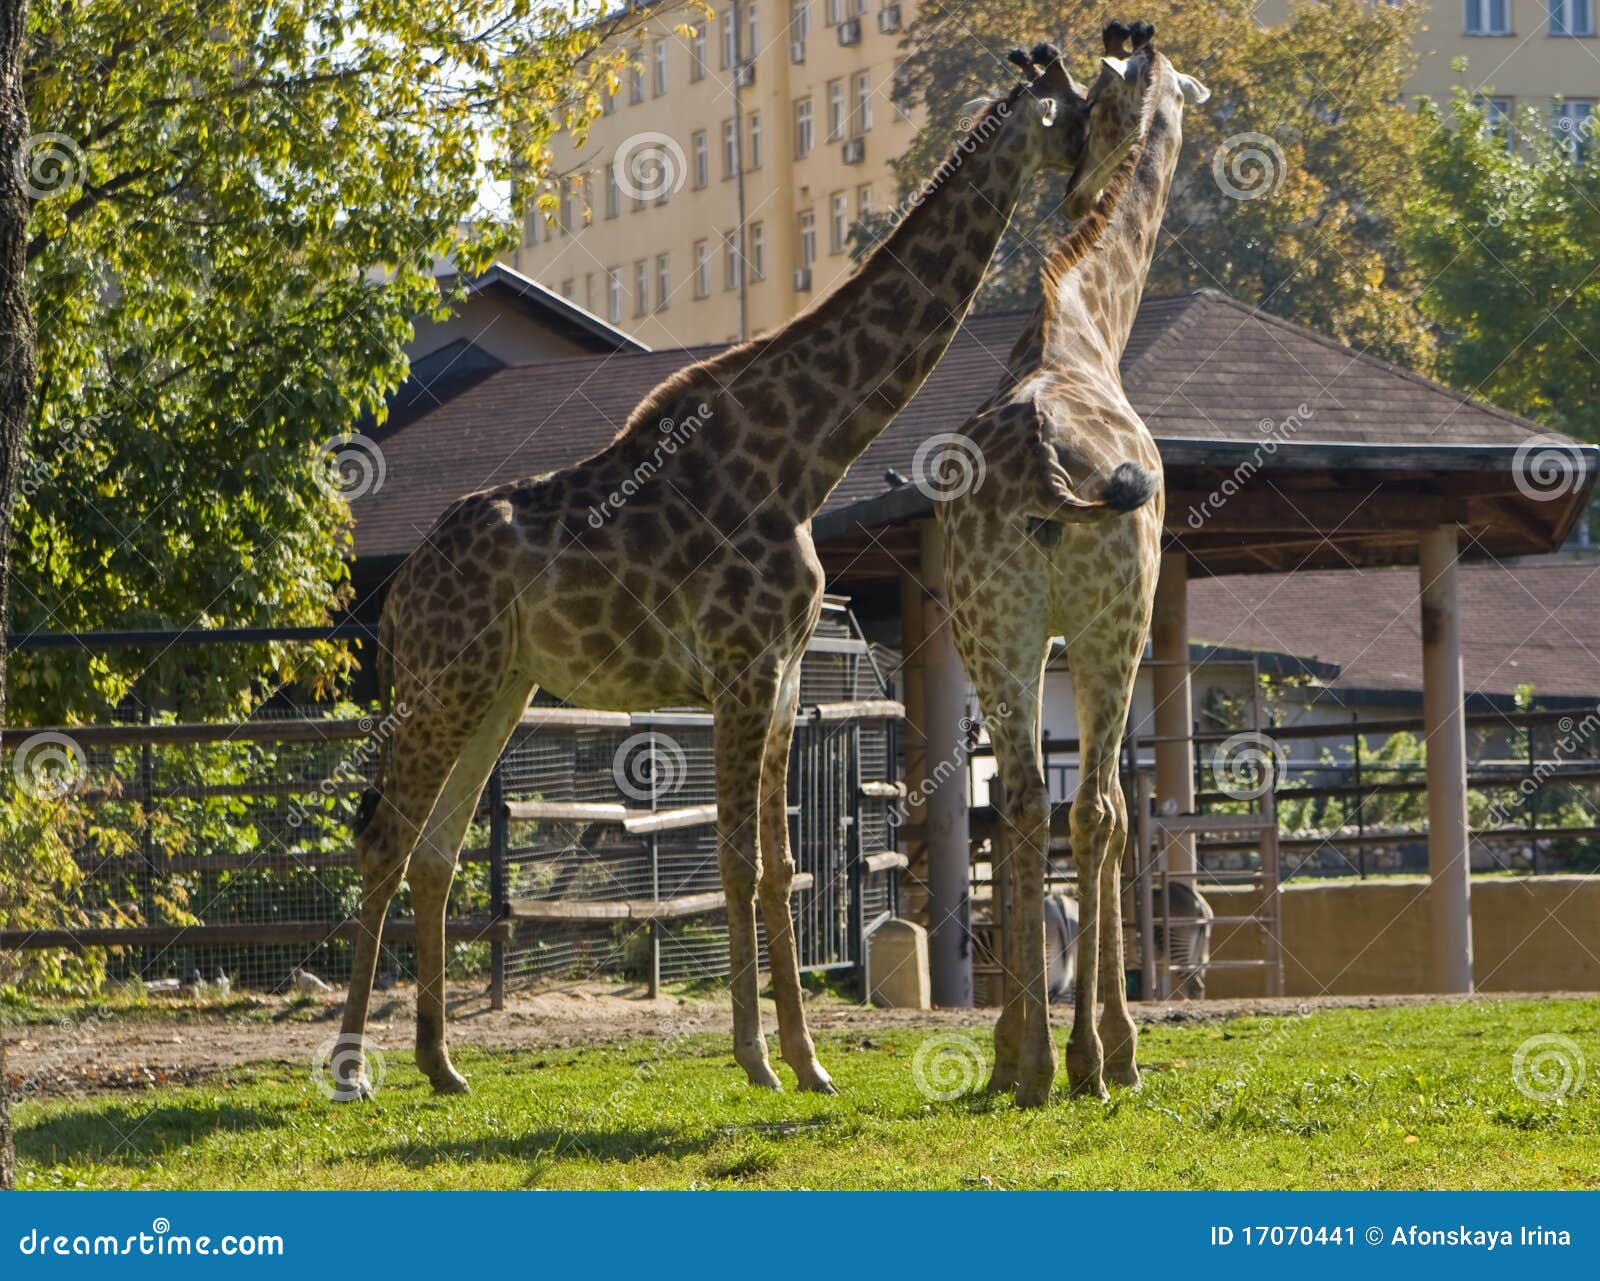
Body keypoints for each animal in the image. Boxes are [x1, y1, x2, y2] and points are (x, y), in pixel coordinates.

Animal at [333, 29, 1150, 1100]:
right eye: (1076, 110)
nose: (1097, 178)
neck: (803, 456)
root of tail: (398, 598)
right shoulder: (737, 664)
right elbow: (733, 862)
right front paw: (758, 1058)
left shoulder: (785, 671)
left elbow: (779, 866)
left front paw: (805, 1061)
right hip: (444, 678)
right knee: (386, 836)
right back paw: (353, 1070)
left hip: (500, 685)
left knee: (435, 849)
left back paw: (441, 1064)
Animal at [936, 23, 1209, 1108]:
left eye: (1090, 107)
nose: (1074, 183)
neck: (1087, 326)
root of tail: (1051, 463)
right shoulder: (1122, 618)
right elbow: (1123, 816)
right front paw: (1122, 1045)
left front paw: (1031, 1048)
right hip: (1109, 619)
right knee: (1091, 809)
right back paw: (1087, 1061)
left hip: (990, 624)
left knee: (1014, 800)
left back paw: (1022, 1059)